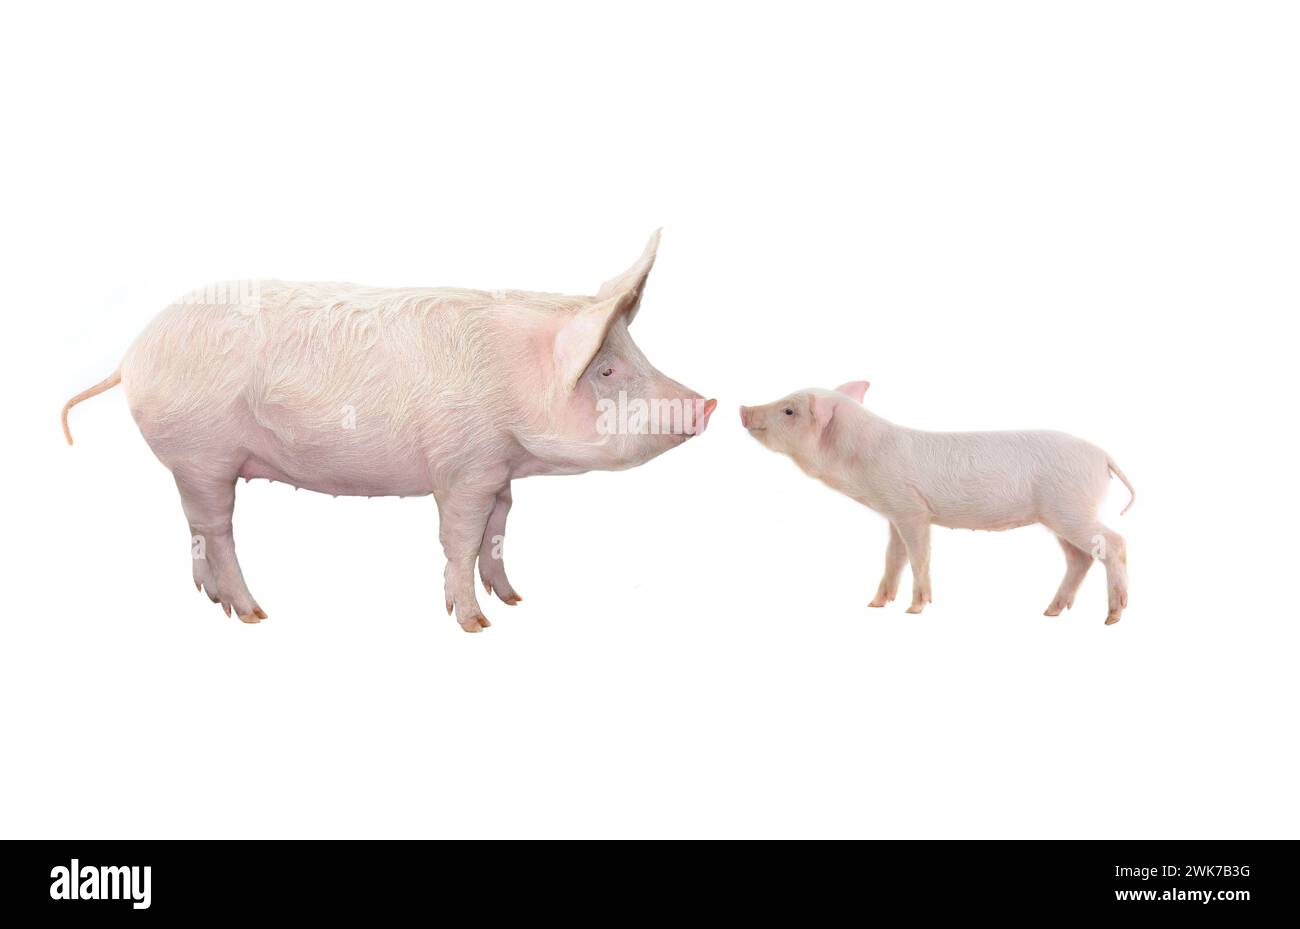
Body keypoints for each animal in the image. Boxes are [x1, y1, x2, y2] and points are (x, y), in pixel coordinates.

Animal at [61, 231, 716, 632]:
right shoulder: (463, 467)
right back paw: (253, 614)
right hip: (203, 455)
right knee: (218, 530)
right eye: (605, 370)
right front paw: (476, 624)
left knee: (196, 528)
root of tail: (132, 353)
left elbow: (498, 533)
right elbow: (461, 540)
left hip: (189, 465)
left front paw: (515, 599)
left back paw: (214, 602)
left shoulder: (497, 470)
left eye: (636, 353)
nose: (706, 402)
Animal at [740, 382, 1135, 624]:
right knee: (1080, 558)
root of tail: (1104, 457)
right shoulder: (894, 513)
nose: (743, 408)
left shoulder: (913, 509)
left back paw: (1112, 617)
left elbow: (919, 556)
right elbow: (893, 558)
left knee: (1115, 543)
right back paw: (1050, 612)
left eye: (789, 411)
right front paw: (874, 604)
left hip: (1071, 507)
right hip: (1057, 515)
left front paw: (914, 610)